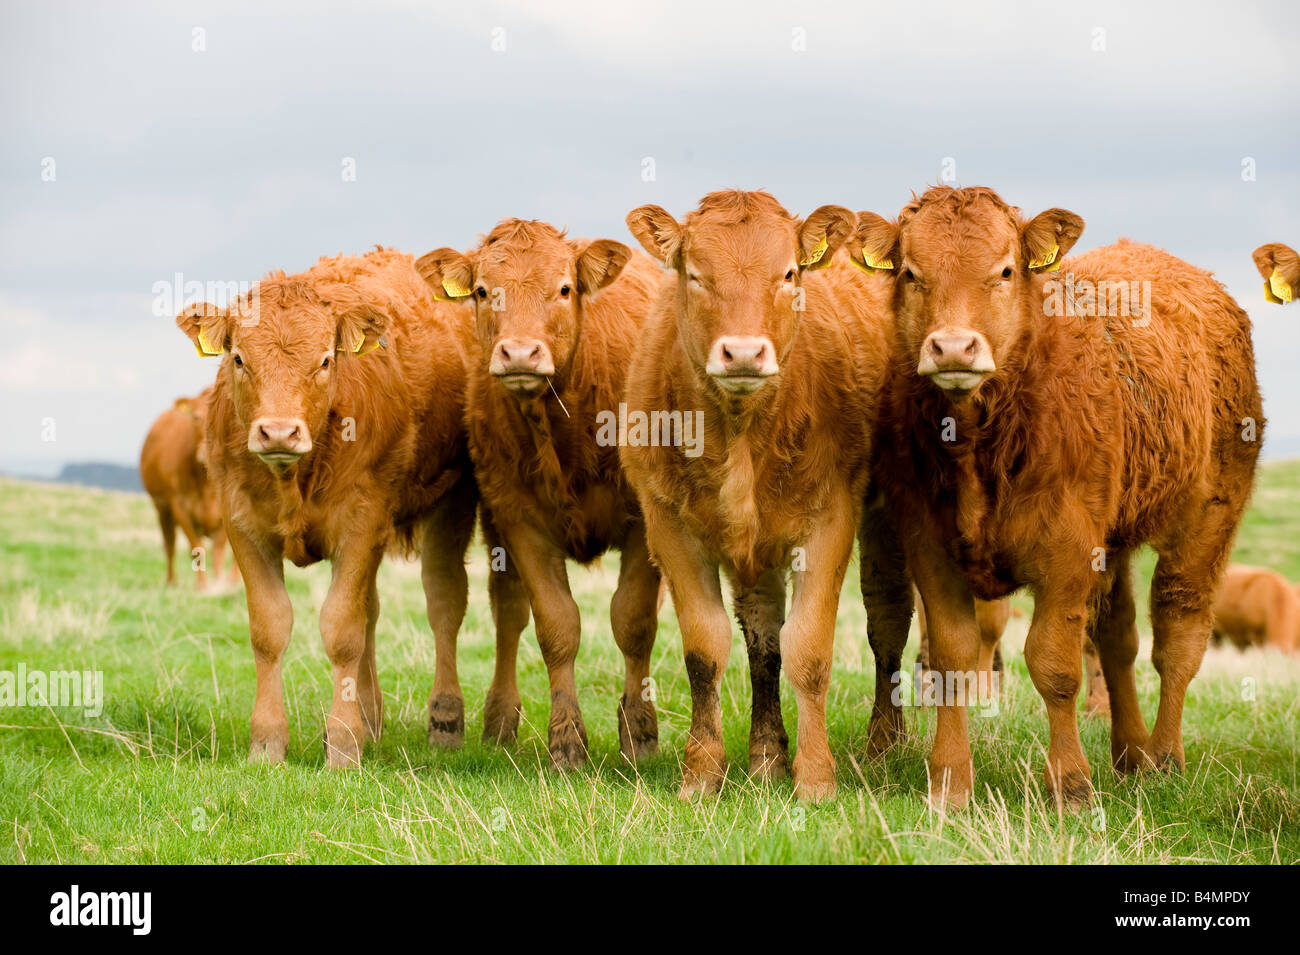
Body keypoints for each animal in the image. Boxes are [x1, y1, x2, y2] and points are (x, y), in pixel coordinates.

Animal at [140, 387, 236, 589]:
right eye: (197, 417)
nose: (207, 452)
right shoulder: (179, 506)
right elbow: (197, 548)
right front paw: (203, 587)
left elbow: (218, 551)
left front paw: (218, 584)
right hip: (162, 509)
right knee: (170, 544)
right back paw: (171, 581)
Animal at [175, 247, 510, 768]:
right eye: (238, 358)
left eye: (326, 360)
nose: (278, 432)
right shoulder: (244, 528)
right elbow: (270, 629)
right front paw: (268, 742)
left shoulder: (361, 524)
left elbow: (342, 629)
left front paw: (344, 743)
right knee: (373, 609)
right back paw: (372, 718)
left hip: (452, 500)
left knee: (444, 604)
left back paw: (444, 721)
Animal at [414, 219, 664, 766]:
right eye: (482, 291)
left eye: (564, 288)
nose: (520, 353)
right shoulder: (520, 518)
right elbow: (557, 627)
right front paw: (567, 741)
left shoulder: (644, 521)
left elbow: (633, 623)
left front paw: (639, 733)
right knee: (508, 611)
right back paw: (499, 720)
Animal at [621, 190, 901, 802]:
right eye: (695, 274)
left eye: (789, 273)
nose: (745, 353)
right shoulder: (669, 526)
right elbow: (706, 650)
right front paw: (702, 772)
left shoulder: (831, 521)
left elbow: (810, 652)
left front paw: (816, 777)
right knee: (762, 639)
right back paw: (766, 758)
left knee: (888, 624)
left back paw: (884, 745)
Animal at [854, 186, 1262, 810]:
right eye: (909, 272)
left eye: (1005, 269)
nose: (953, 347)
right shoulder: (929, 543)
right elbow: (951, 656)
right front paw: (949, 783)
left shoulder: (1069, 552)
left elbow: (1053, 664)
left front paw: (1070, 785)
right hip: (1113, 542)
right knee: (1118, 637)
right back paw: (1131, 753)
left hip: (1211, 514)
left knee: (1178, 634)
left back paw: (1166, 757)